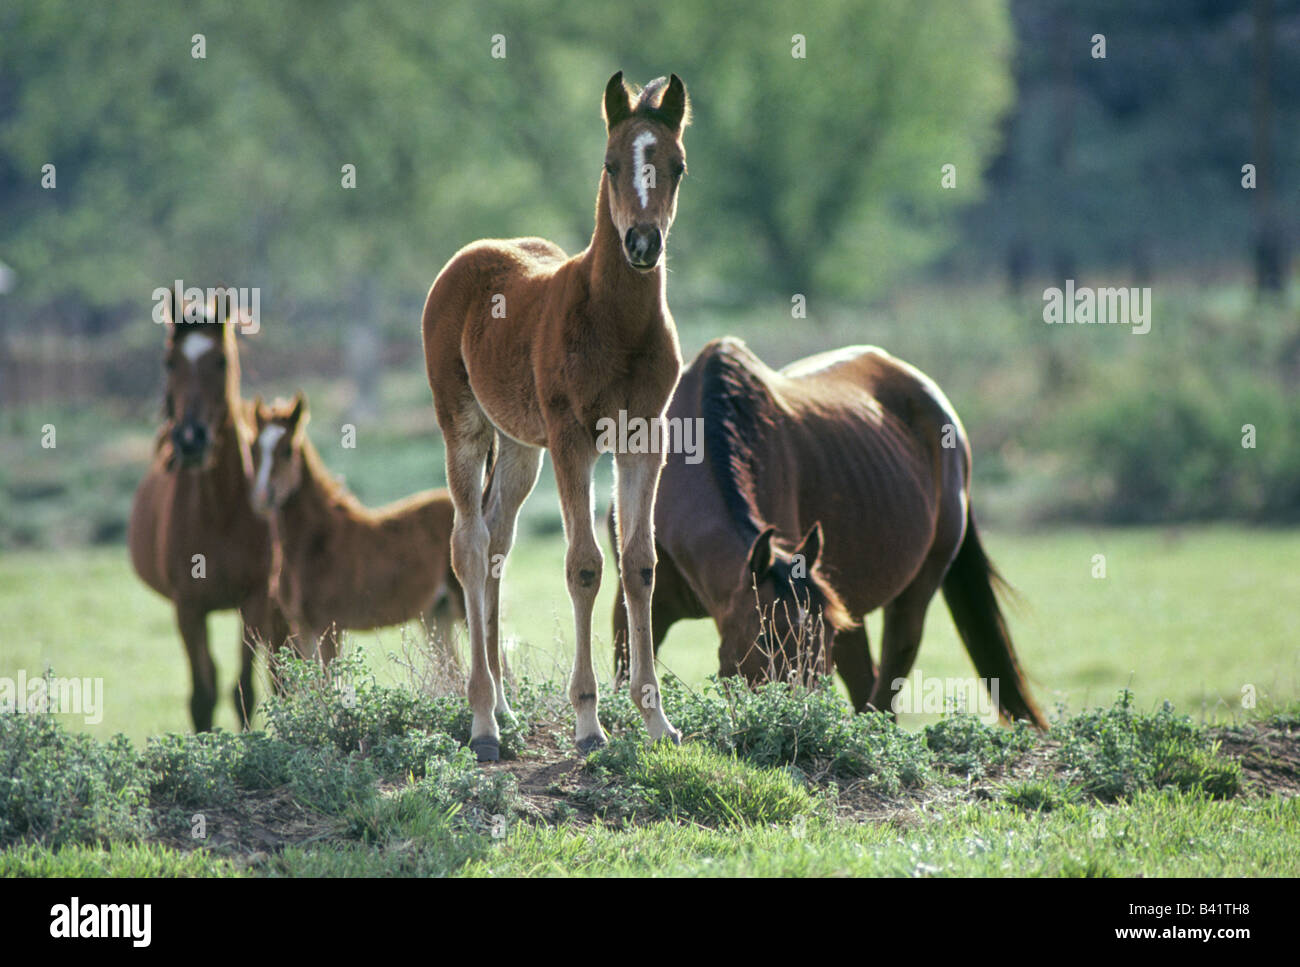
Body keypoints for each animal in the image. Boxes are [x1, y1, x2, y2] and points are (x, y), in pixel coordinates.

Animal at [128, 288, 289, 731]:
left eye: (221, 361)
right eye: (170, 362)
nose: (190, 440)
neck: (217, 511)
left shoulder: (254, 600)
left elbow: (243, 691)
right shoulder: (188, 607)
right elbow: (202, 696)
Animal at [249, 393, 464, 665]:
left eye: (287, 449)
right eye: (253, 449)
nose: (261, 497)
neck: (315, 542)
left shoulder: (328, 627)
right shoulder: (302, 628)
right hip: (437, 615)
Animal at [422, 72, 691, 761]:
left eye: (676, 165)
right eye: (609, 163)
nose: (642, 244)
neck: (617, 323)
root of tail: (469, 256)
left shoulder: (644, 436)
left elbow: (640, 563)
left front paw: (656, 720)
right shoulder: (573, 439)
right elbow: (585, 566)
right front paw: (590, 724)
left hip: (521, 446)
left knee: (497, 540)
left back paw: (504, 708)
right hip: (464, 425)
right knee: (469, 545)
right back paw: (483, 724)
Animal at [611, 337, 1046, 729]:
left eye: (816, 639)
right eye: (767, 638)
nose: (801, 718)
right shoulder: (632, 600)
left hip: (917, 587)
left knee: (888, 679)